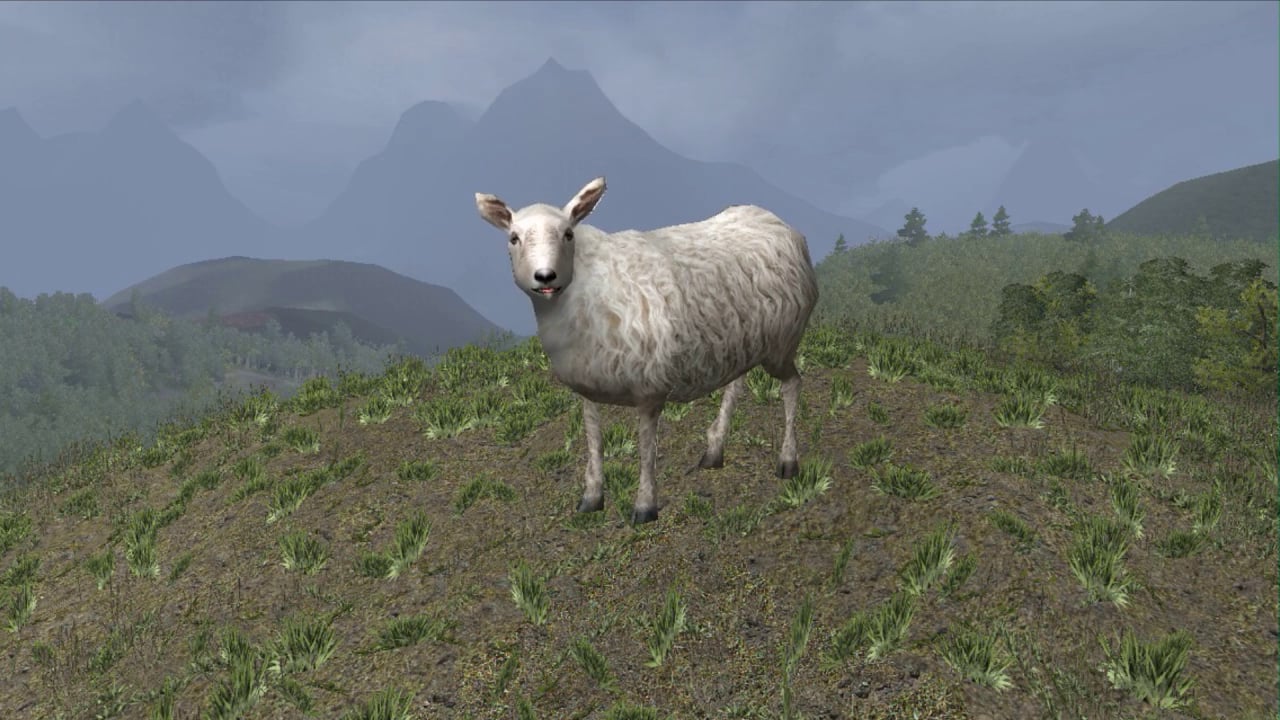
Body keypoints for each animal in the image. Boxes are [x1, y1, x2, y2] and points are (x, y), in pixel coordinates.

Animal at [474, 177, 820, 525]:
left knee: (793, 384)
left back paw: (788, 461)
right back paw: (714, 450)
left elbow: (645, 448)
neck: (586, 290)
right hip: (742, 340)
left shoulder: (650, 387)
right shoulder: (587, 387)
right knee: (737, 383)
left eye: (568, 234)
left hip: (781, 343)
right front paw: (591, 498)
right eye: (514, 238)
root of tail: (774, 219)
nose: (545, 277)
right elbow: (594, 441)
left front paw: (644, 507)